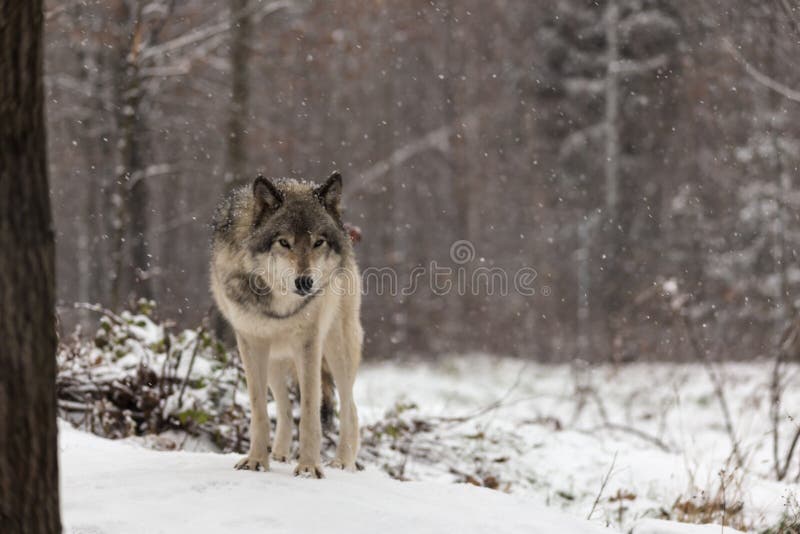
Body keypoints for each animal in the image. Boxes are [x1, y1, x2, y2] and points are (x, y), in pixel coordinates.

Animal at [210, 172, 362, 478]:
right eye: (284, 242)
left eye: (318, 242)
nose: (305, 282)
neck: (278, 303)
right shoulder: (251, 343)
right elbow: (259, 411)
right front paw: (256, 461)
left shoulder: (309, 343)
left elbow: (310, 412)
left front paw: (309, 467)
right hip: (275, 361)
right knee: (283, 408)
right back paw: (279, 455)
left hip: (338, 349)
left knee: (350, 408)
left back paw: (343, 462)